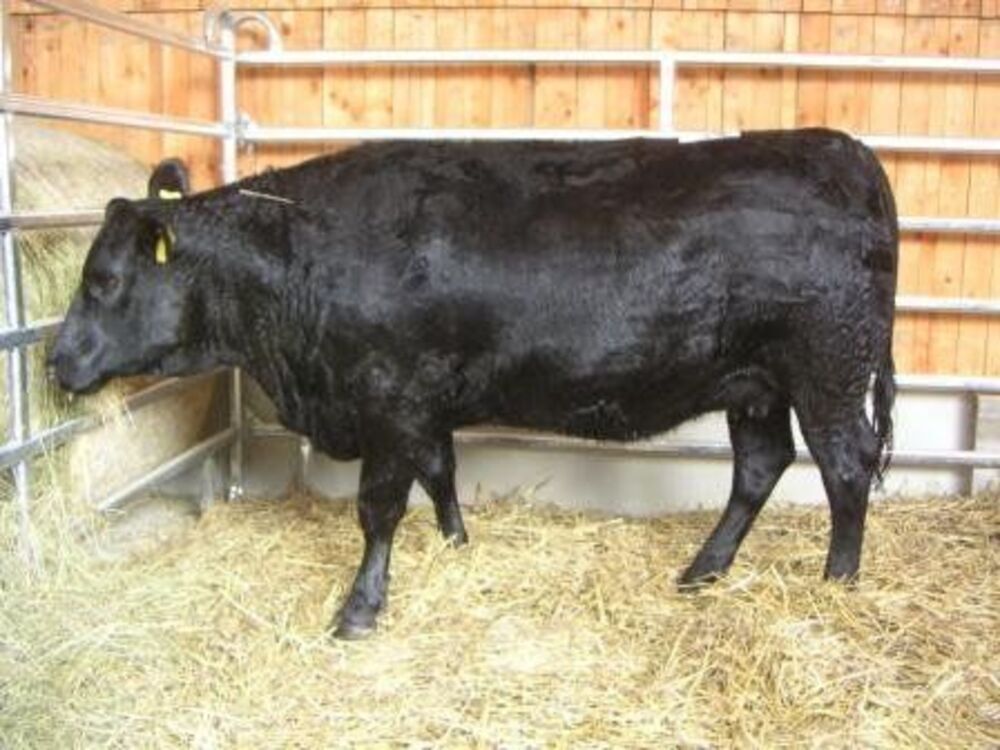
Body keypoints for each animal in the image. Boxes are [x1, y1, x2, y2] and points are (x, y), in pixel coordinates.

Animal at [49, 129, 898, 639]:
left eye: (102, 280)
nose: (56, 361)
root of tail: (839, 148)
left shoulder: (388, 399)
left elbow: (379, 508)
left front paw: (360, 610)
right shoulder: (423, 405)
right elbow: (441, 472)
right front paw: (457, 547)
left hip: (825, 371)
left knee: (845, 466)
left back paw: (838, 582)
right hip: (754, 384)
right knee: (759, 467)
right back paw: (703, 571)